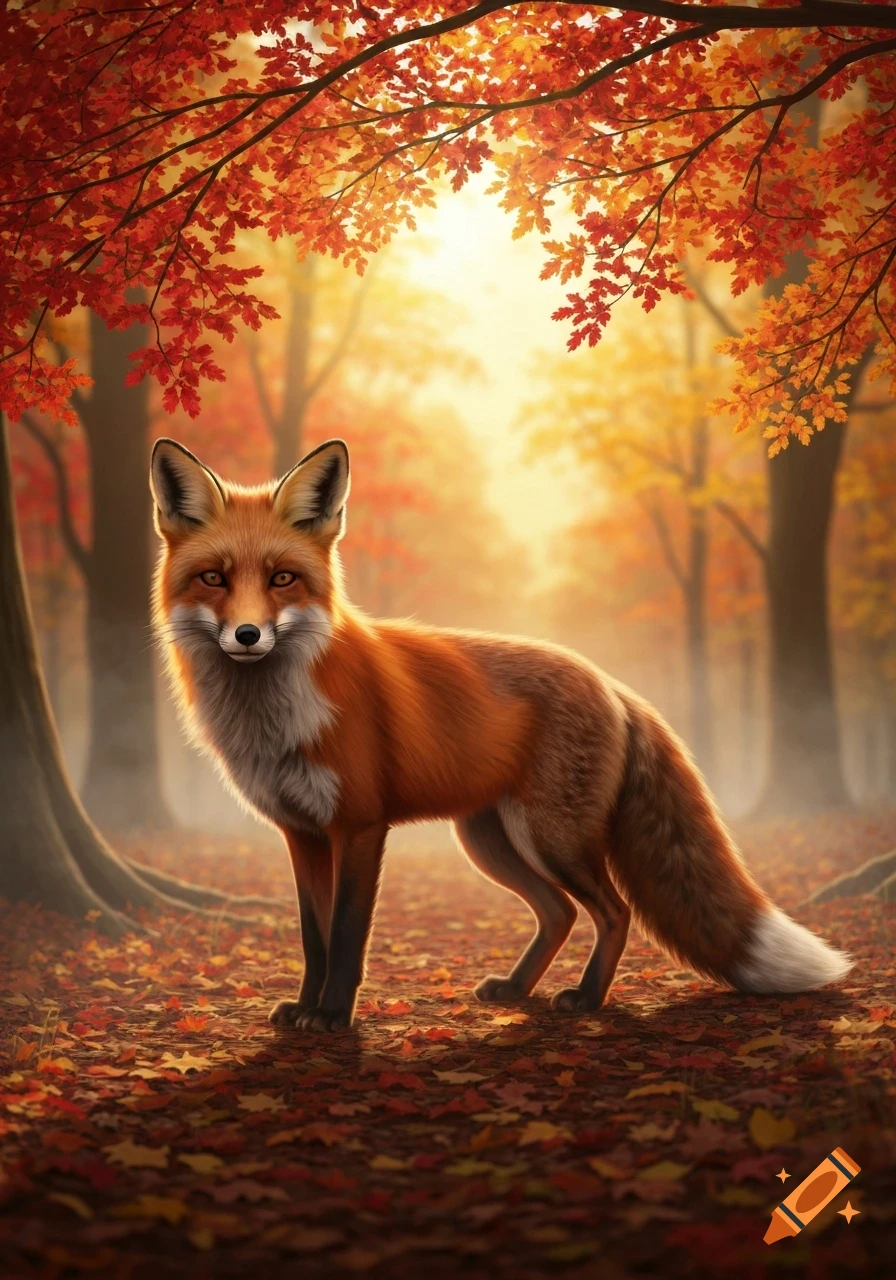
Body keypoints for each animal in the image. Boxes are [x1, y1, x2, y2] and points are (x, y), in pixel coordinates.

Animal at [150, 436, 851, 1032]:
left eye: (281, 579)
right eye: (214, 578)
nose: (247, 635)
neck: (275, 718)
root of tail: (611, 683)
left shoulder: (359, 826)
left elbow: (346, 934)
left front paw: (333, 1017)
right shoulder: (302, 834)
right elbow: (313, 936)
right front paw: (303, 1009)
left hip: (552, 836)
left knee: (613, 910)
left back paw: (587, 1000)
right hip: (490, 840)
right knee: (558, 911)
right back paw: (517, 991)